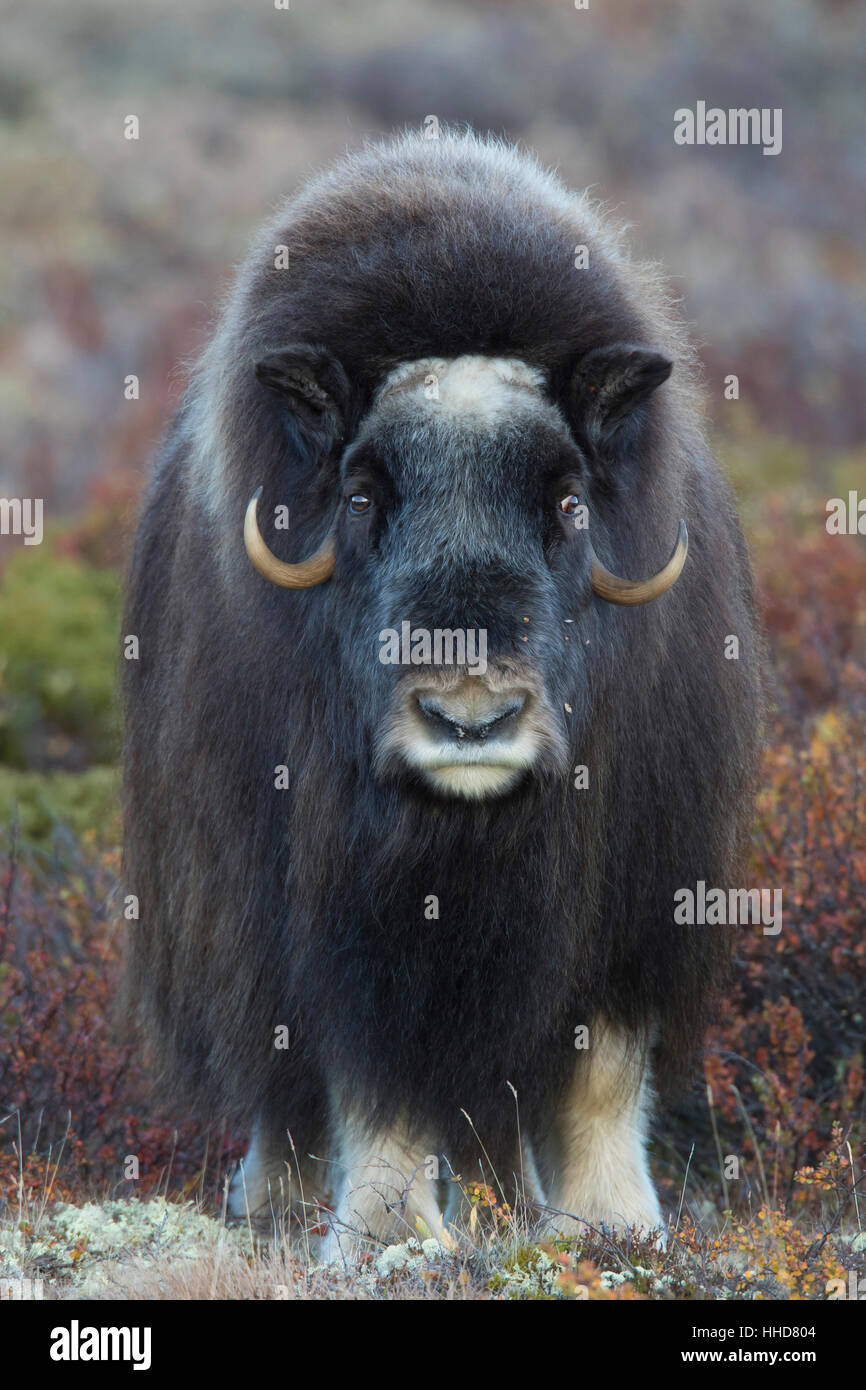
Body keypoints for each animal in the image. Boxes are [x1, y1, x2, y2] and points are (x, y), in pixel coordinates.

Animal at [122, 130, 762, 1256]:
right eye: (361, 495)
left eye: (567, 500)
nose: (471, 719)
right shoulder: (335, 913)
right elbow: (370, 1071)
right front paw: (382, 1235)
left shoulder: (637, 885)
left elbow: (602, 1065)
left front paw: (614, 1228)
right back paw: (276, 1203)